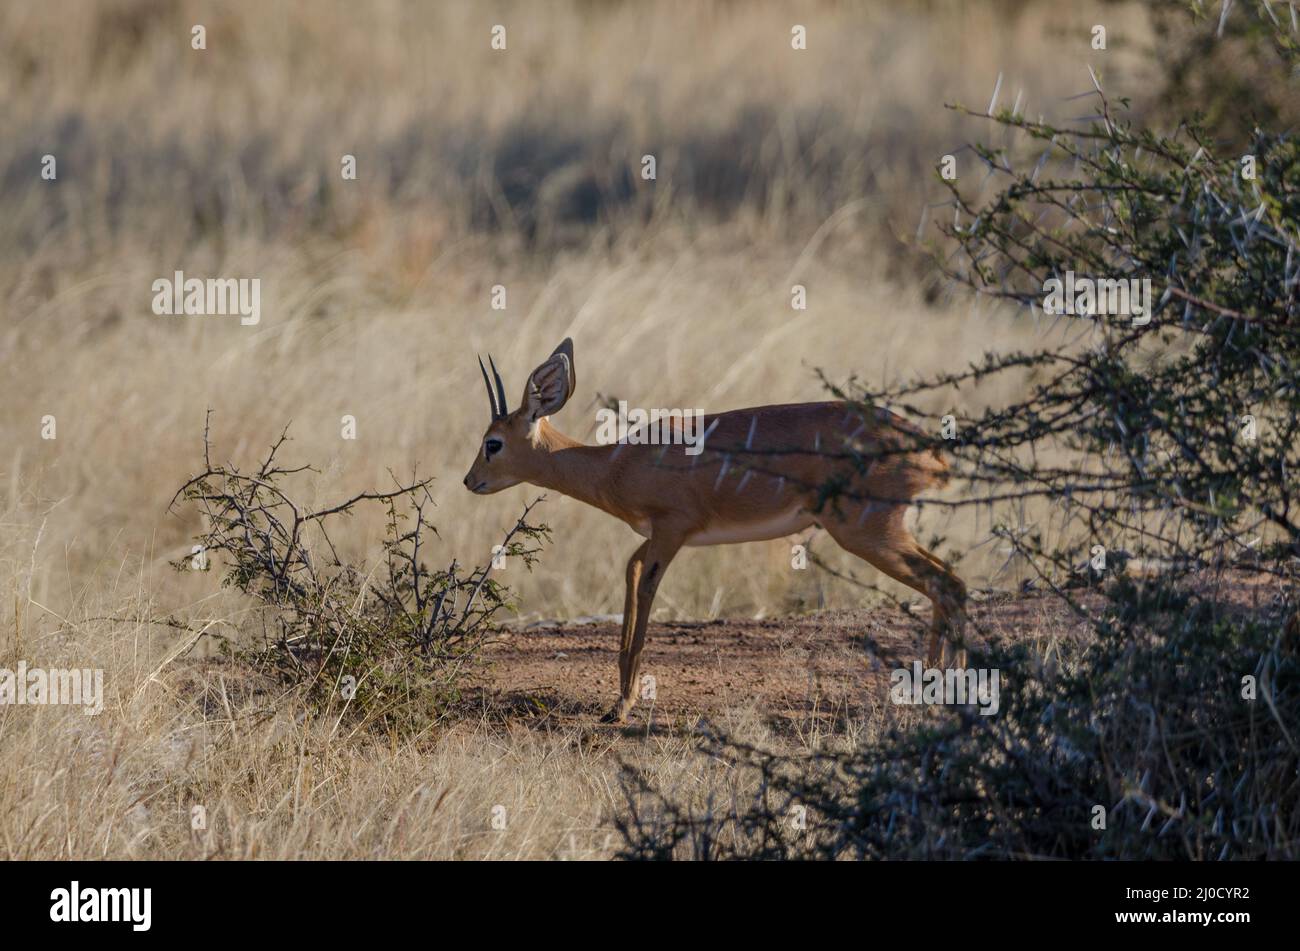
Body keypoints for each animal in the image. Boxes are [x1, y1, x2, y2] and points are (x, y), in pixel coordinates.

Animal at [463, 339, 967, 723]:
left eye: (493, 443)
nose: (470, 481)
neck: (617, 464)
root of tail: (933, 453)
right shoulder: (652, 536)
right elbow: (630, 574)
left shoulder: (672, 530)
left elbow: (644, 589)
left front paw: (622, 705)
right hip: (885, 532)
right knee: (951, 582)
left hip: (867, 534)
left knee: (947, 583)